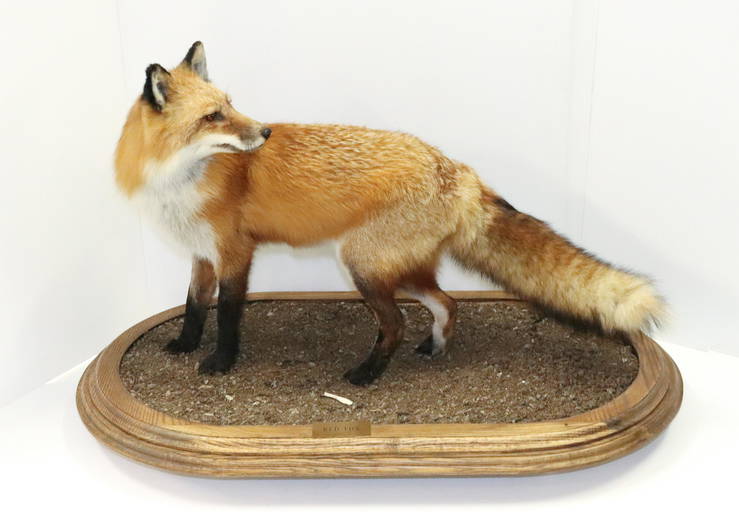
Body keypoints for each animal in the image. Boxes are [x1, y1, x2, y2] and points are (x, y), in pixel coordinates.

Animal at [114, 41, 666, 385]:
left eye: (231, 105)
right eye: (214, 116)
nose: (265, 132)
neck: (177, 183)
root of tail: (456, 169)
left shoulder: (234, 253)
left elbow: (227, 316)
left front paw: (221, 362)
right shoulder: (201, 254)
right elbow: (193, 306)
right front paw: (185, 345)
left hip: (362, 264)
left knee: (397, 322)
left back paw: (368, 375)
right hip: (398, 267)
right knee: (448, 302)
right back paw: (435, 349)